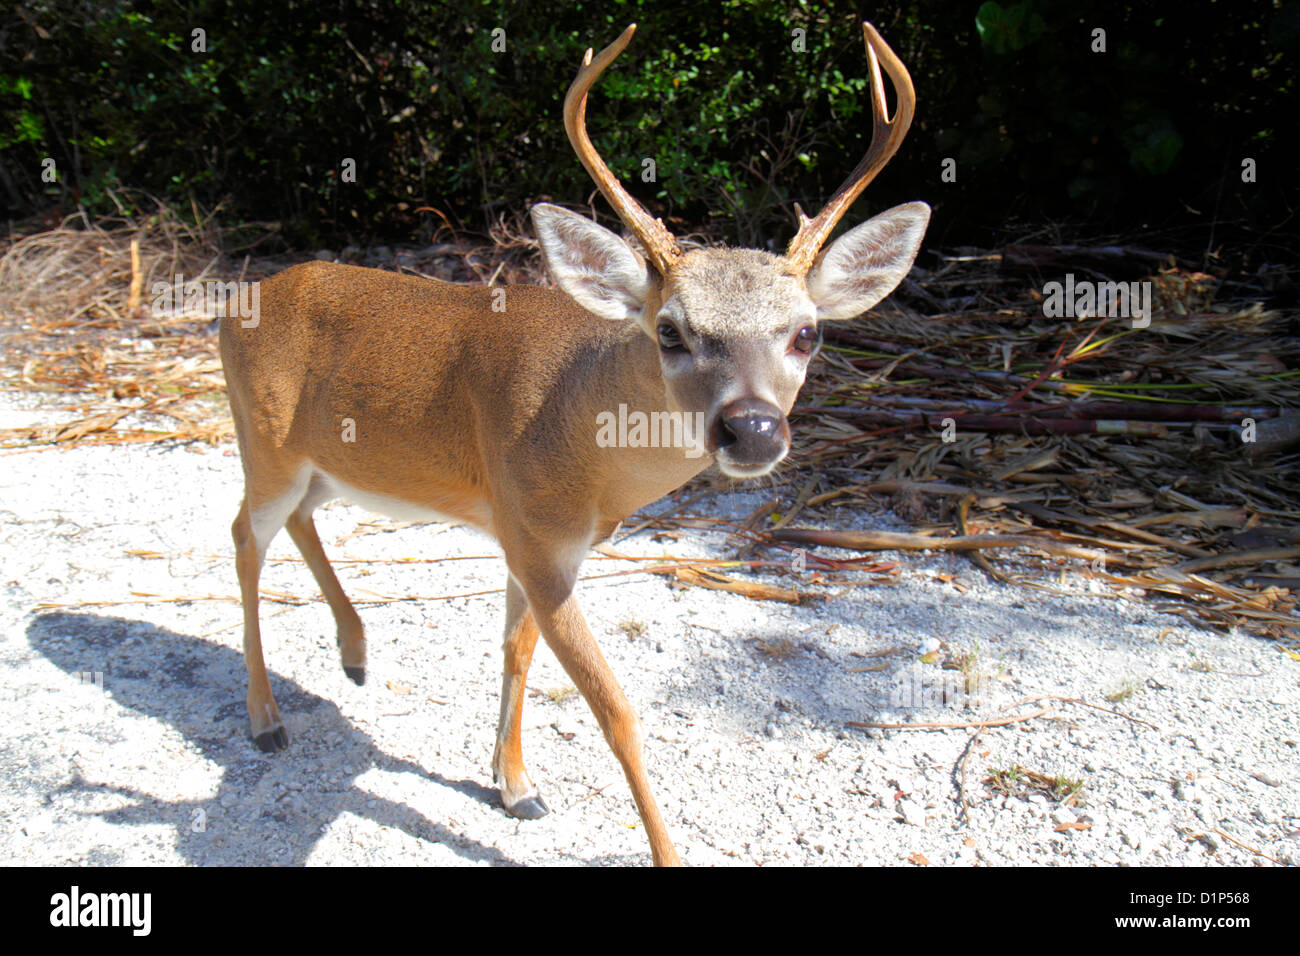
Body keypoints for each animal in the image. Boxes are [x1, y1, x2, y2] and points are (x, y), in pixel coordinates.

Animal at [219, 21, 929, 866]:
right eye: (670, 330)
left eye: (807, 334)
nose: (752, 427)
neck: (589, 450)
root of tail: (235, 302)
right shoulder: (535, 534)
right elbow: (615, 710)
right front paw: (659, 850)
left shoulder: (538, 540)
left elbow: (516, 651)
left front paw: (514, 785)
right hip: (263, 440)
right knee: (243, 535)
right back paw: (266, 719)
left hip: (324, 465)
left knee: (297, 520)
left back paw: (355, 654)